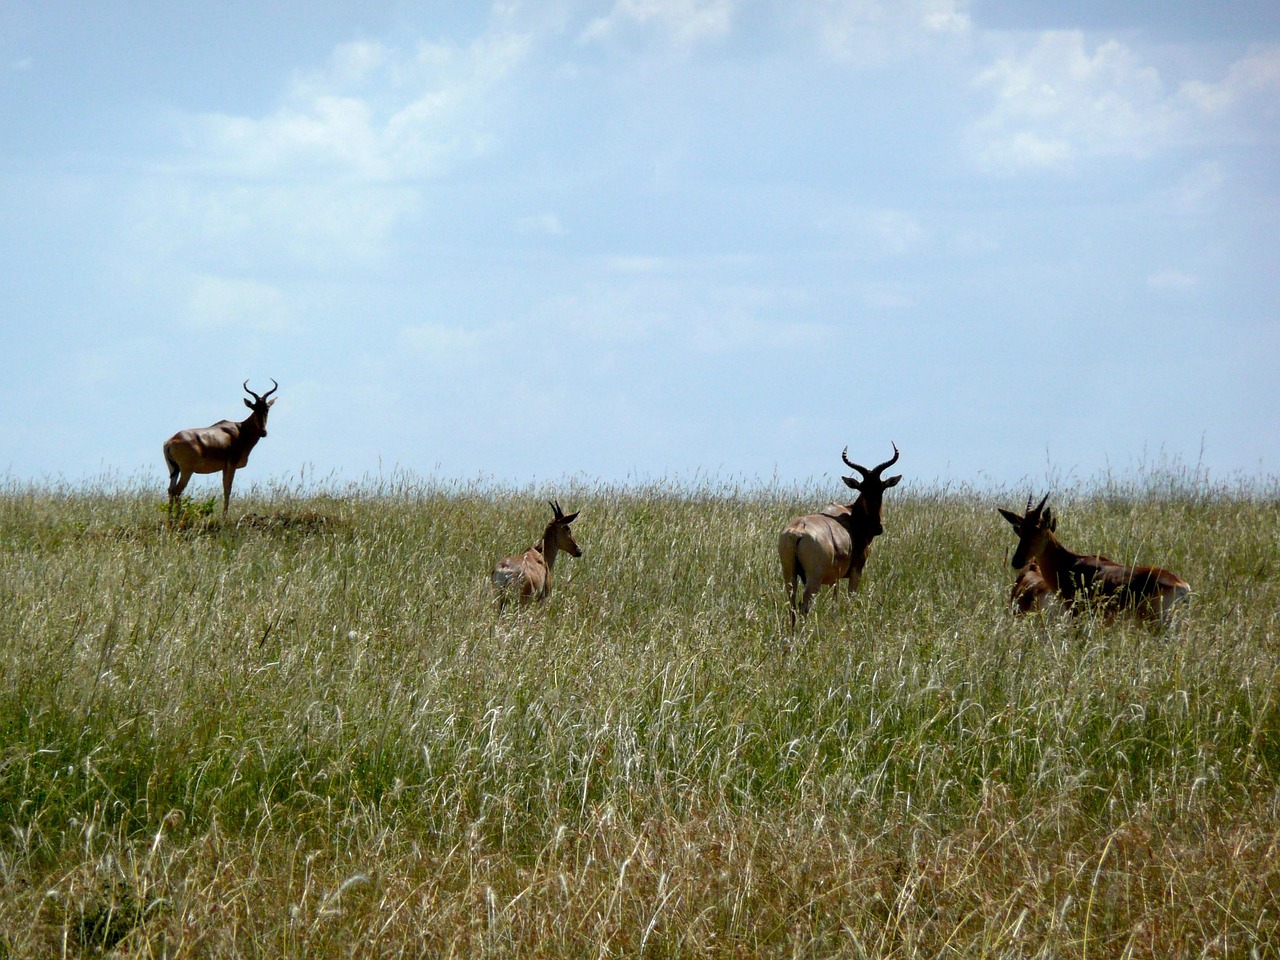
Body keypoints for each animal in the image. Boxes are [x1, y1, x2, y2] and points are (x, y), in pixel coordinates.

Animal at [163, 380, 278, 518]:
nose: (263, 432)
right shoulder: (231, 465)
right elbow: (228, 489)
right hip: (187, 470)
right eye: (254, 408)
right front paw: (224, 517)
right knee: (177, 491)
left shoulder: (224, 467)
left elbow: (225, 489)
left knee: (170, 490)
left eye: (267, 409)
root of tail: (172, 440)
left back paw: (170, 519)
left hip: (174, 469)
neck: (240, 430)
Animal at [778, 444, 902, 629]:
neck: (850, 516)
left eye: (880, 488)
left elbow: (835, 600)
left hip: (789, 573)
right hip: (813, 579)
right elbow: (851, 599)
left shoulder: (834, 579)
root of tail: (797, 532)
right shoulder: (856, 571)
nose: (877, 528)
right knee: (804, 604)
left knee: (791, 603)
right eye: (863, 489)